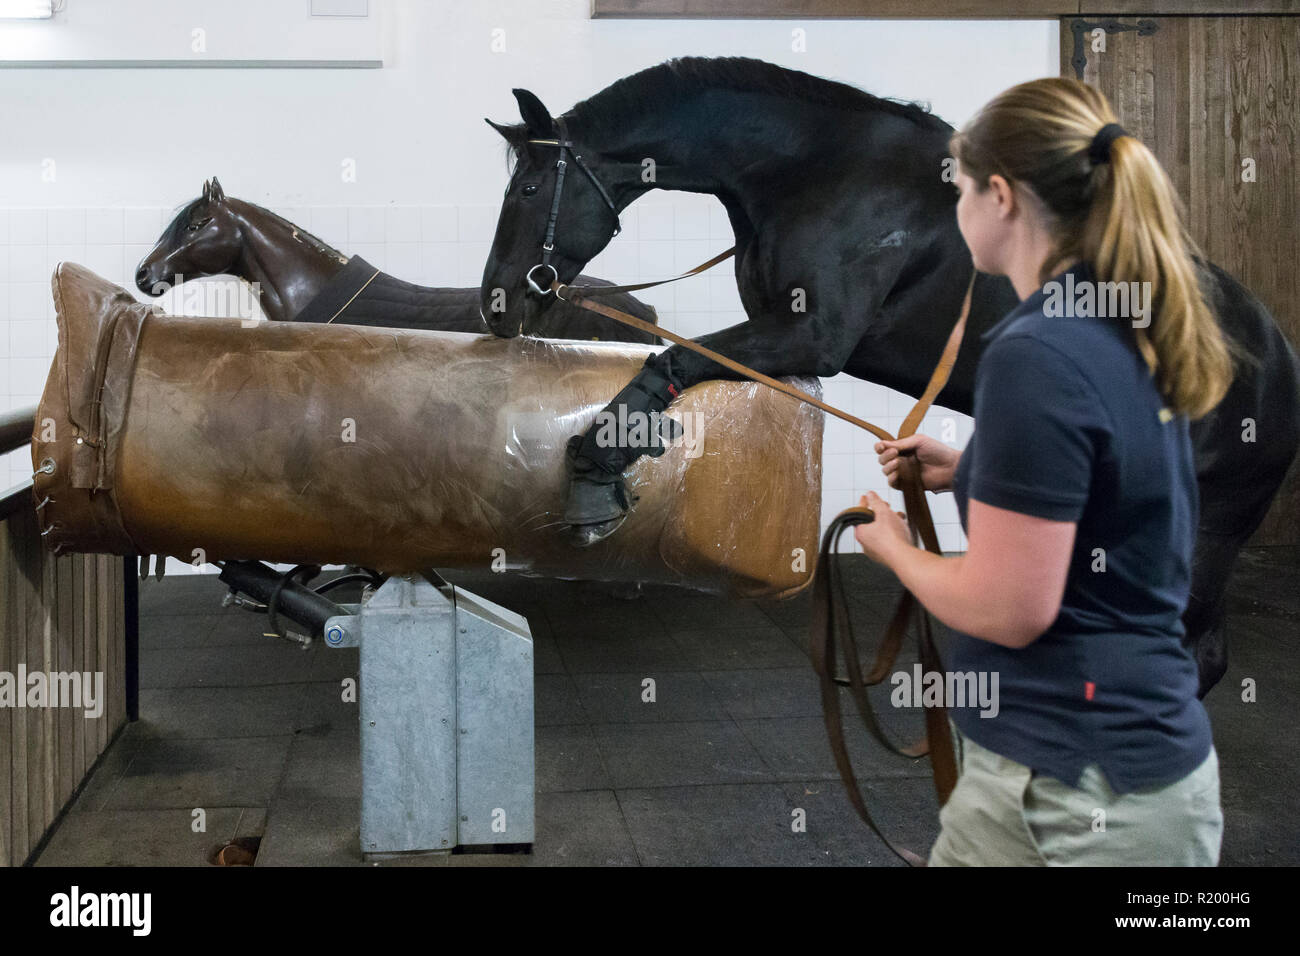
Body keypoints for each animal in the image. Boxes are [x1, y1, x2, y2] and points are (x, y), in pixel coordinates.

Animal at [478, 56, 1300, 698]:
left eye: (527, 191)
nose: (498, 301)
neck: (815, 169)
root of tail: (1275, 357)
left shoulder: (811, 335)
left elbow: (673, 357)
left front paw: (593, 471)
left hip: (1204, 533)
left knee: (1192, 657)